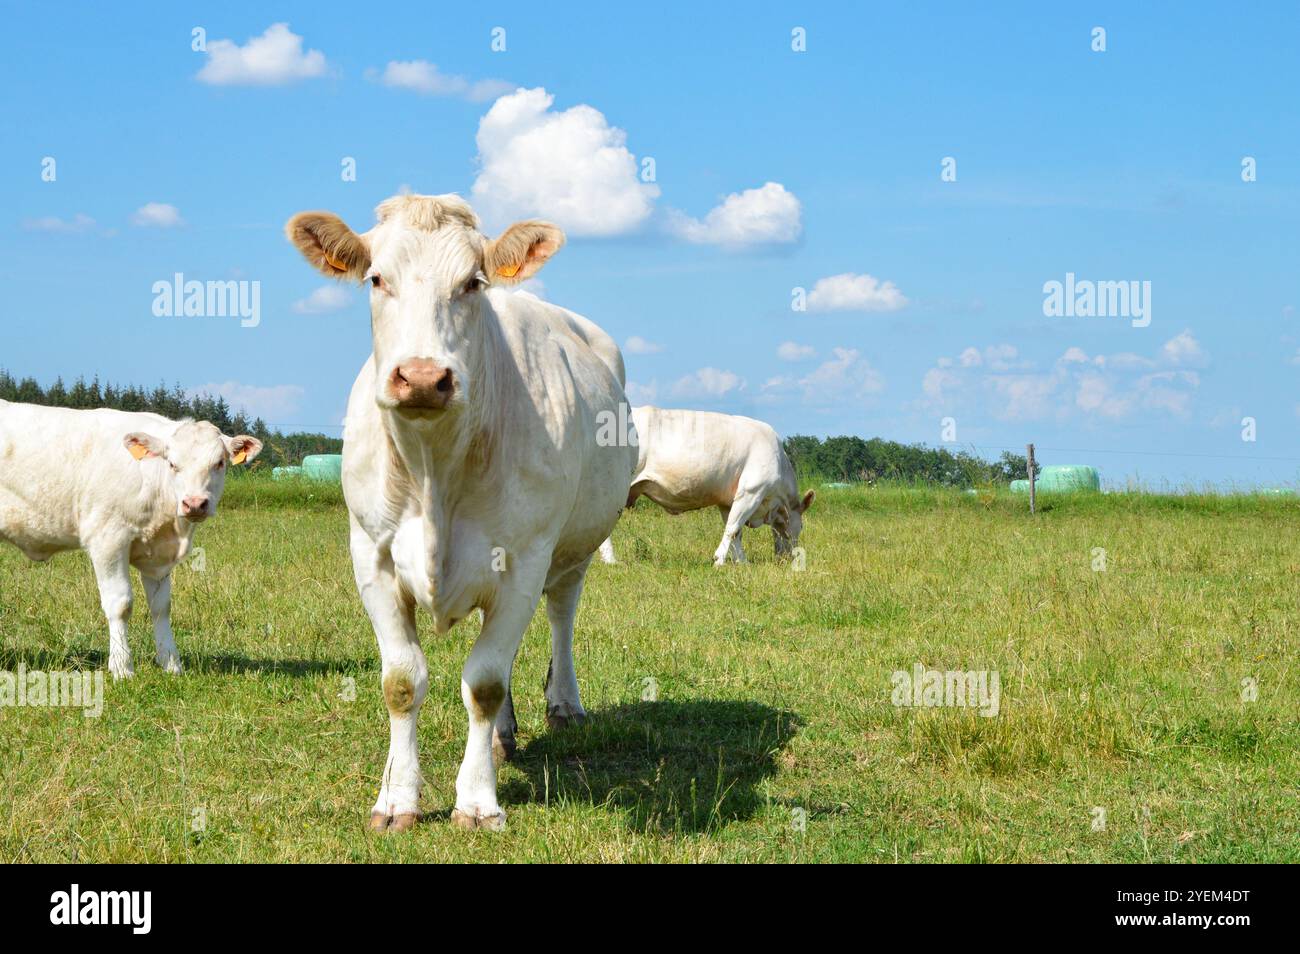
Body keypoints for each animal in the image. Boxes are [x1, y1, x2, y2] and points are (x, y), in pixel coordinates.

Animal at [0, 401, 262, 678]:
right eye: (172, 464)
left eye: (219, 463)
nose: (194, 503)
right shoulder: (108, 539)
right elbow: (120, 604)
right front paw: (122, 667)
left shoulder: (159, 555)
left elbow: (161, 606)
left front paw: (170, 663)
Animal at [285, 193, 636, 833]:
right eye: (376, 279)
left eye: (473, 282)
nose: (423, 377)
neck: (434, 474)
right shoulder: (371, 556)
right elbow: (402, 681)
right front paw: (397, 799)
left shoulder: (524, 559)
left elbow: (485, 683)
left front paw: (476, 801)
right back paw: (502, 737)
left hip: (573, 549)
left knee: (561, 614)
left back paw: (564, 704)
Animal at [601, 406, 814, 566]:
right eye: (802, 526)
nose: (786, 558)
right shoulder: (751, 491)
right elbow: (732, 528)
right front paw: (719, 560)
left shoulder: (728, 502)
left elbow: (735, 532)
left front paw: (741, 562)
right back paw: (611, 560)